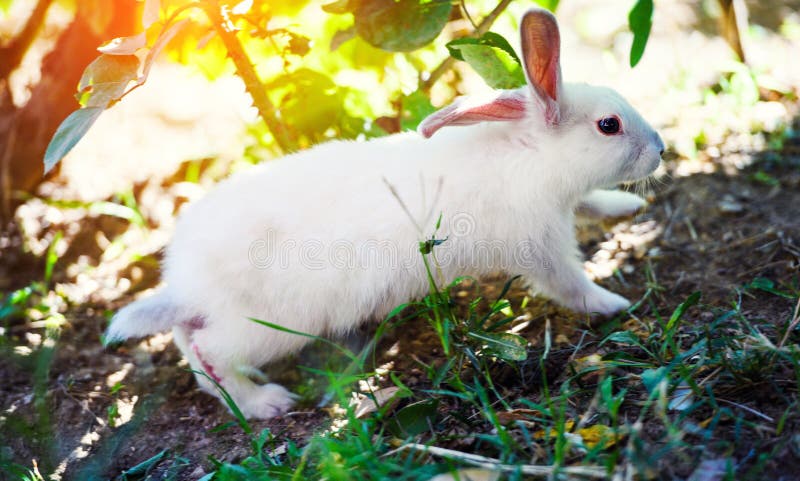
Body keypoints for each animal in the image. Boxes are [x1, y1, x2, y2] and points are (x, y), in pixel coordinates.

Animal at [105, 8, 665, 419]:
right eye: (609, 125)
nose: (660, 150)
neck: (530, 155)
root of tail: (185, 283)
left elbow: (592, 201)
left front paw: (627, 206)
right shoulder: (542, 249)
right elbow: (570, 284)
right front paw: (613, 303)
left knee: (188, 341)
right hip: (266, 327)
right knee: (210, 353)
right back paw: (264, 403)